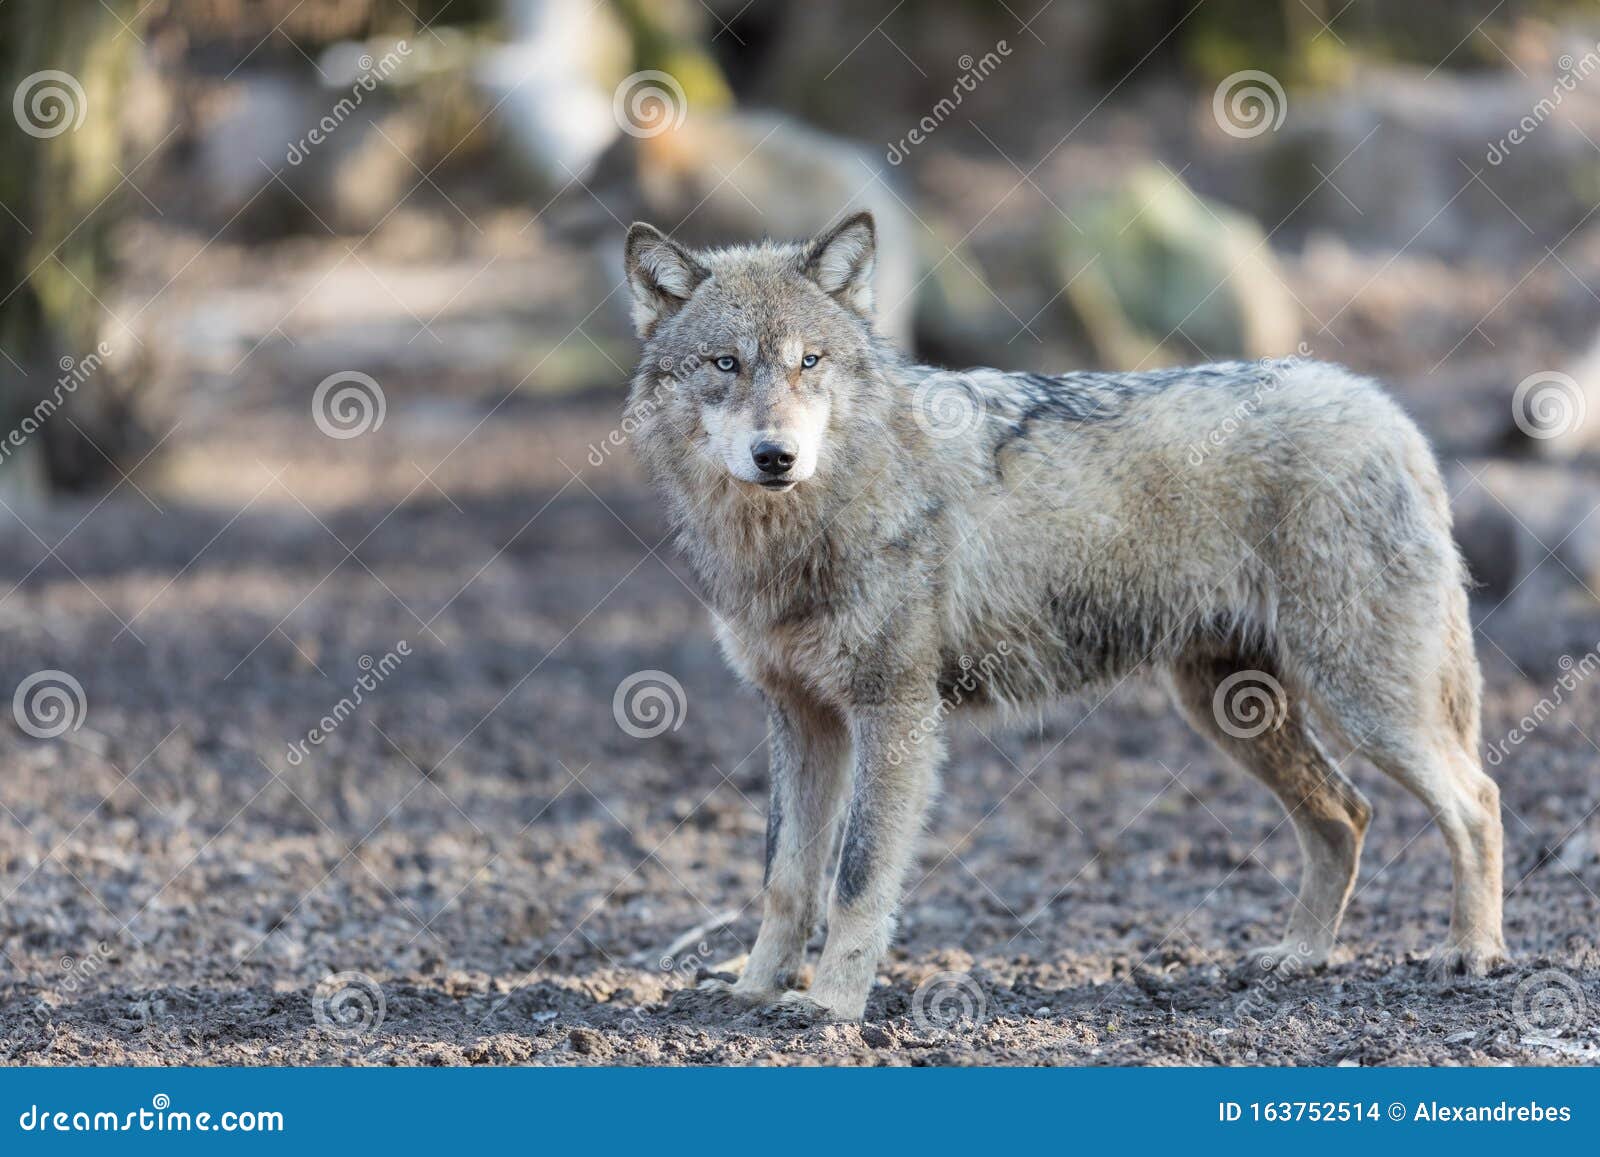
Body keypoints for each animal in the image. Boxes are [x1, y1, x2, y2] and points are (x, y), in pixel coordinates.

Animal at [622, 211, 1506, 1023]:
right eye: (726, 363)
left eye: (810, 361)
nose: (777, 456)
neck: (793, 532)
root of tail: (1386, 411)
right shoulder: (801, 719)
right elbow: (785, 879)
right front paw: (751, 989)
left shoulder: (895, 713)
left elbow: (858, 877)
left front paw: (832, 1007)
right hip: (1232, 710)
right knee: (1345, 816)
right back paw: (1300, 955)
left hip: (1362, 705)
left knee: (1476, 801)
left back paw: (1472, 953)